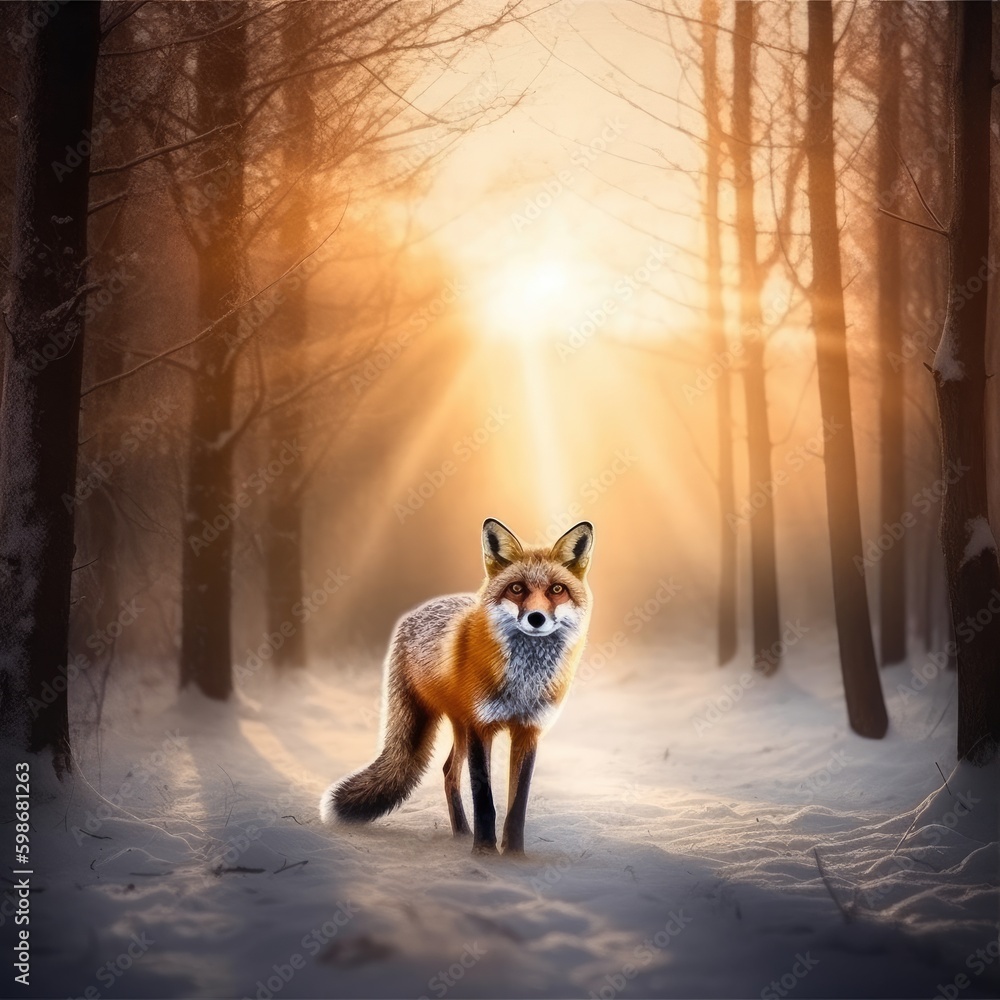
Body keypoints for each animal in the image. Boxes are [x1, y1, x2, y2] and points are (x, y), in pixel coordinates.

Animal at [319, 517, 594, 855]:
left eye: (557, 590)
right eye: (517, 588)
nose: (536, 618)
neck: (523, 681)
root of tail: (418, 611)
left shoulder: (528, 729)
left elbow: (517, 804)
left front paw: (513, 854)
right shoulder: (481, 725)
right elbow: (485, 801)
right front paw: (485, 852)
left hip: (461, 728)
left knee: (449, 771)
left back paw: (462, 833)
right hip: (459, 725)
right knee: (450, 773)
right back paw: (465, 835)